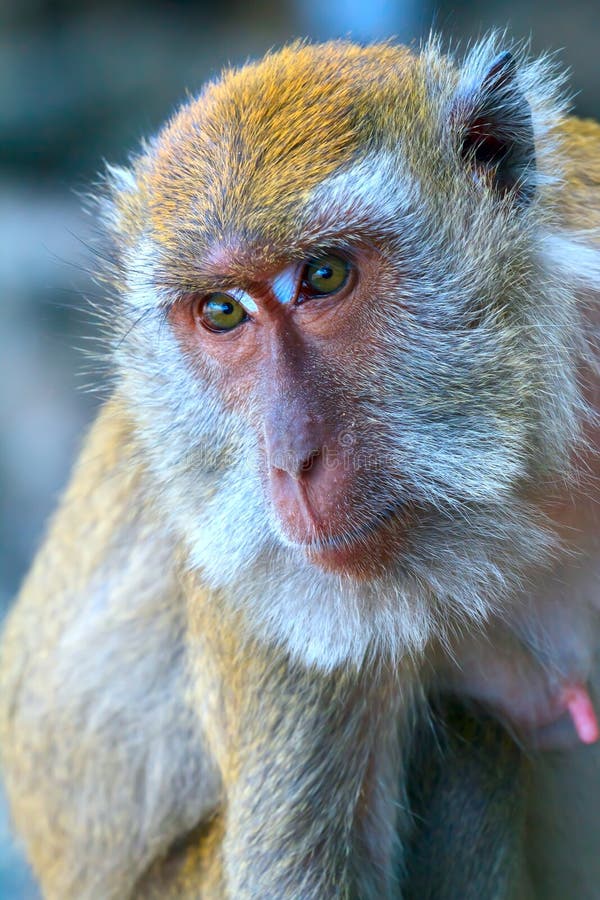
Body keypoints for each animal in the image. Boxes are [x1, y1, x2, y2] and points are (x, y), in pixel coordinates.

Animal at [1, 34, 600, 898]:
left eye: (323, 276)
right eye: (222, 312)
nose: (290, 461)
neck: (524, 484)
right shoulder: (263, 590)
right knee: (470, 738)